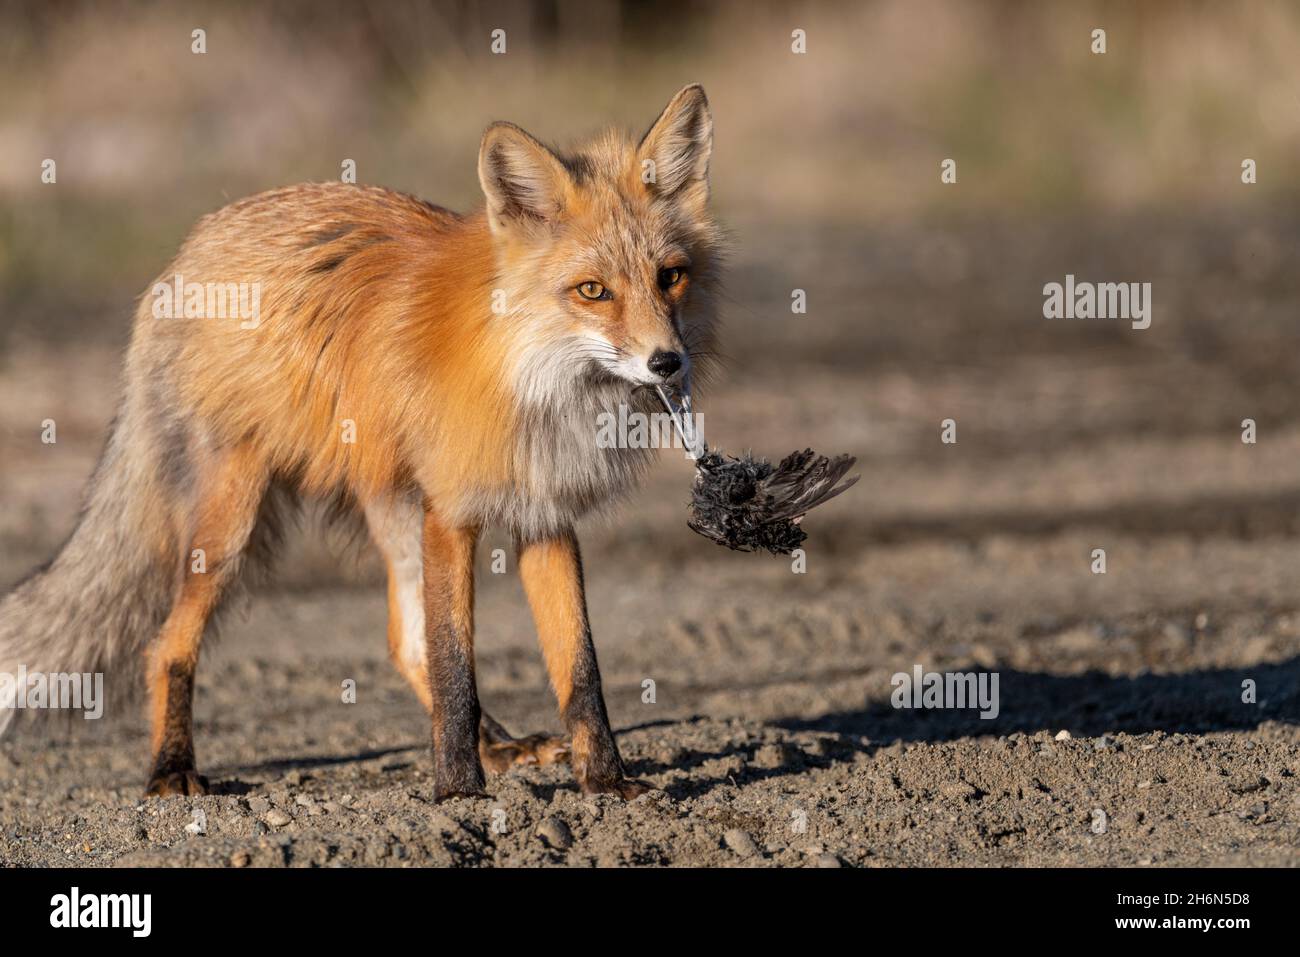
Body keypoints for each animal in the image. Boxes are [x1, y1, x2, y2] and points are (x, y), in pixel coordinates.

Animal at [0, 84, 720, 801]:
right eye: (592, 291)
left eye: (670, 276)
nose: (666, 363)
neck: (535, 379)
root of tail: (191, 245)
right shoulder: (450, 513)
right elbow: (457, 662)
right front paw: (457, 792)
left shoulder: (545, 513)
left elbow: (580, 669)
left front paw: (605, 781)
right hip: (233, 523)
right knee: (168, 644)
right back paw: (171, 768)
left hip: (389, 508)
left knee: (404, 642)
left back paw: (499, 746)